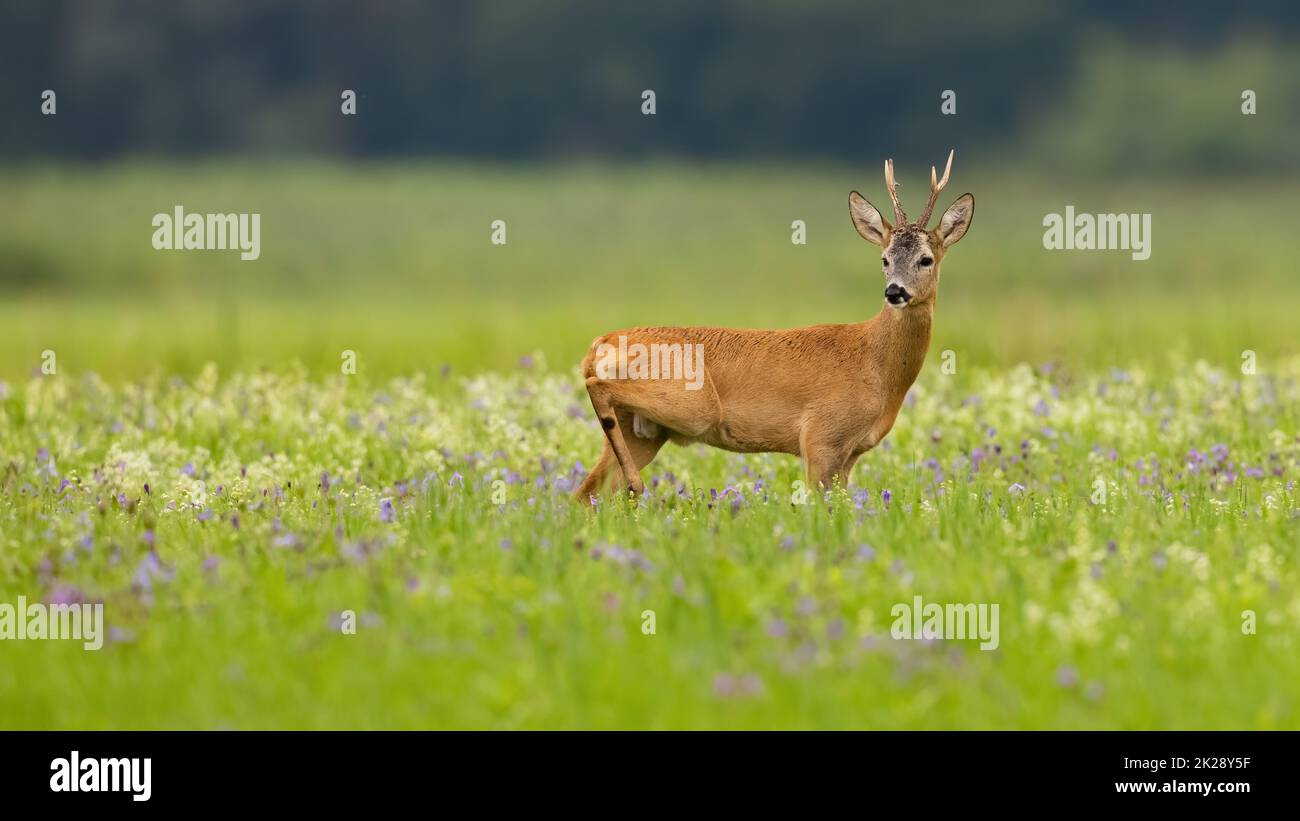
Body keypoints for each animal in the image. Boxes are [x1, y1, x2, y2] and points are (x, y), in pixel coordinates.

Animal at [574, 151, 973, 504]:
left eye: (926, 259)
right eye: (885, 259)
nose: (895, 292)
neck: (877, 364)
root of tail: (600, 343)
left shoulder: (851, 452)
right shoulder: (820, 436)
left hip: (645, 431)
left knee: (584, 494)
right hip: (694, 403)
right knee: (597, 391)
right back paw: (637, 485)